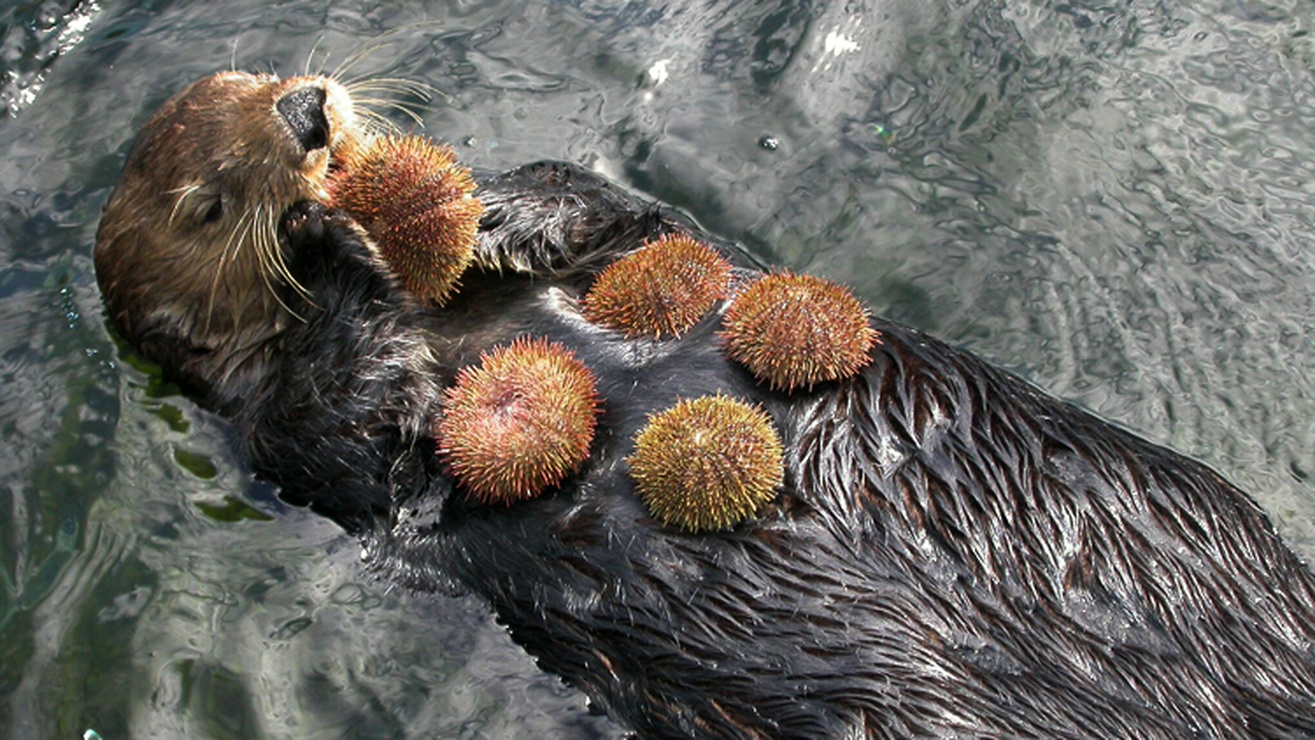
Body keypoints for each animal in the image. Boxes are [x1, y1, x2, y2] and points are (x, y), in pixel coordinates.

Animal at [95, 72, 1315, 739]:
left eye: (264, 71)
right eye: (206, 205)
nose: (307, 110)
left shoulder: (625, 230)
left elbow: (609, 206)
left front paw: (487, 212)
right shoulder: (288, 441)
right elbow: (359, 415)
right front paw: (331, 242)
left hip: (1184, 513)